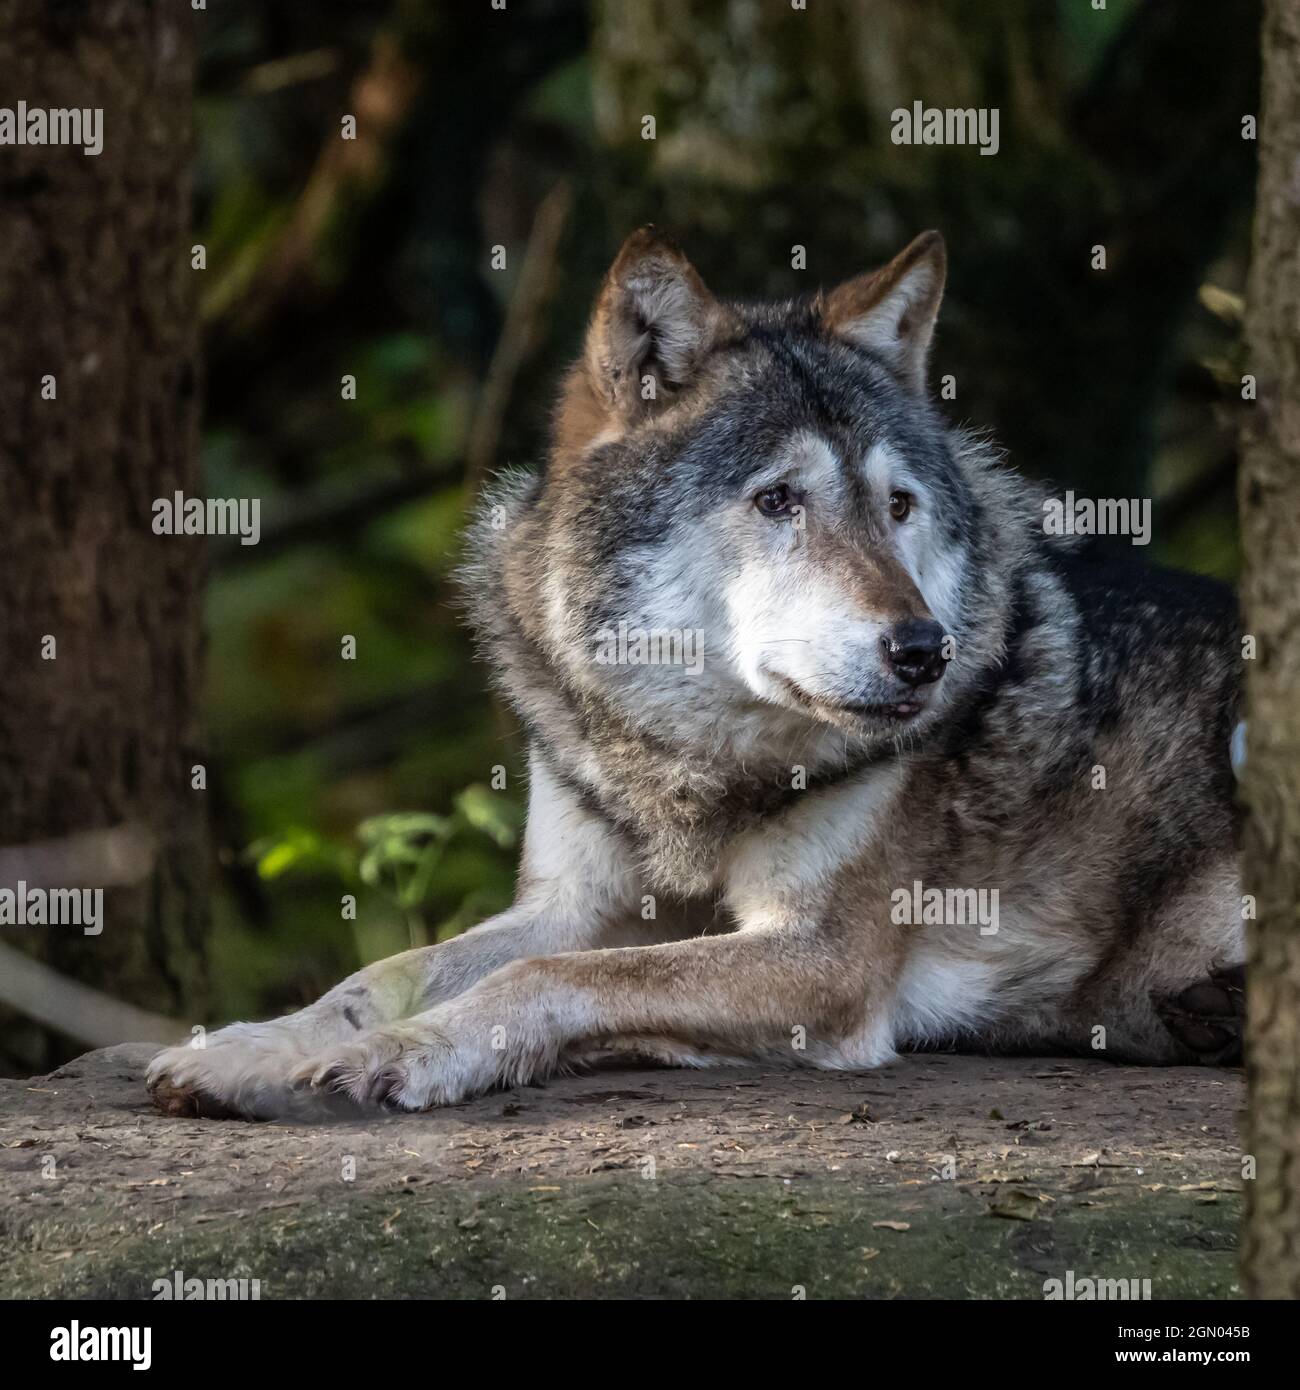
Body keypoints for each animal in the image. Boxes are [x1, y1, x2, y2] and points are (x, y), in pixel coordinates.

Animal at [148, 228, 1246, 1120]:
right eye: (778, 500)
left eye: (897, 506)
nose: (923, 649)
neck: (683, 758)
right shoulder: (569, 901)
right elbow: (384, 970)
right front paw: (248, 1048)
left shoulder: (821, 958)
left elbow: (548, 979)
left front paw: (410, 1053)